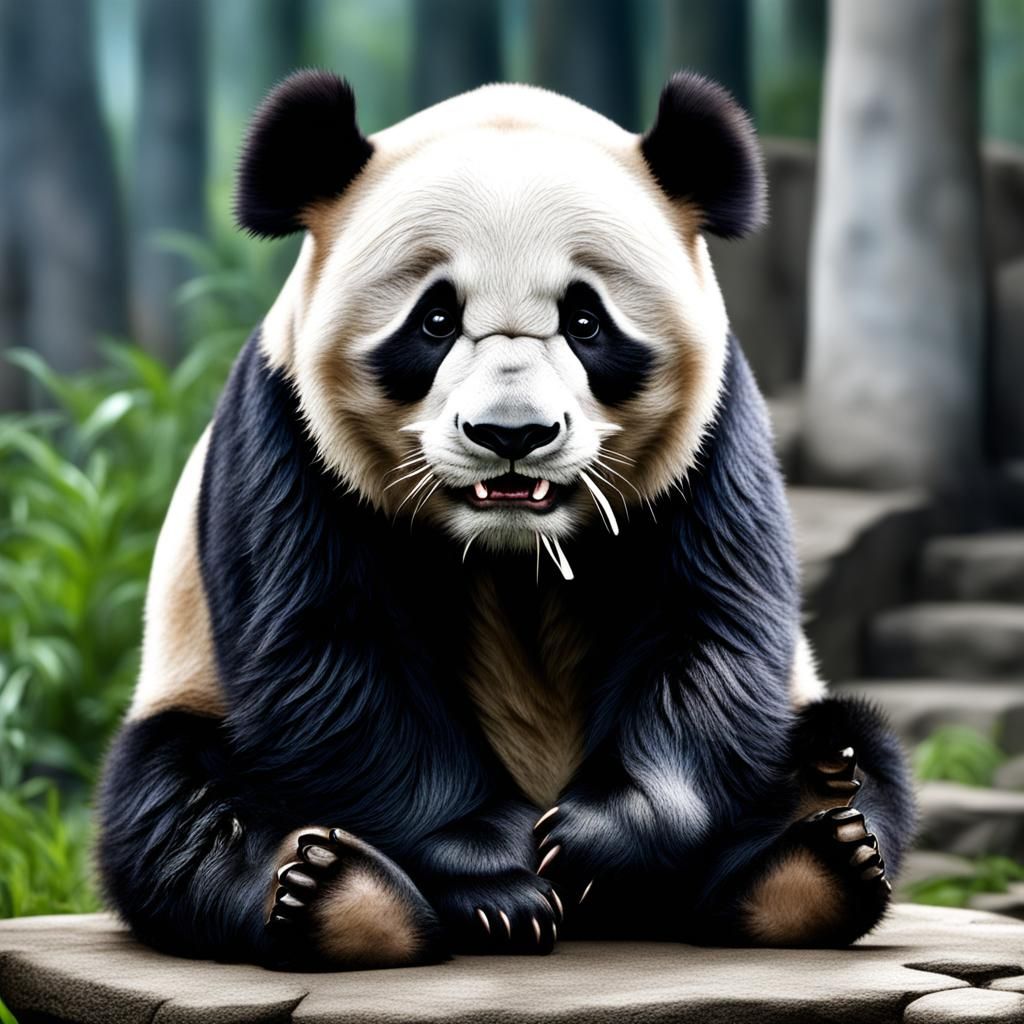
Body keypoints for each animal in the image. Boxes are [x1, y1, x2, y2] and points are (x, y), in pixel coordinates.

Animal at [97, 69, 916, 970]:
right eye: (435, 319)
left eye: (587, 321)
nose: (512, 435)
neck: (510, 545)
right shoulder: (288, 434)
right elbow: (329, 653)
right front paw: (497, 879)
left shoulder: (713, 435)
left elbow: (707, 626)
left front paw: (591, 841)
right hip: (188, 697)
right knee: (175, 802)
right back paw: (335, 895)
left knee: (851, 743)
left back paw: (816, 847)